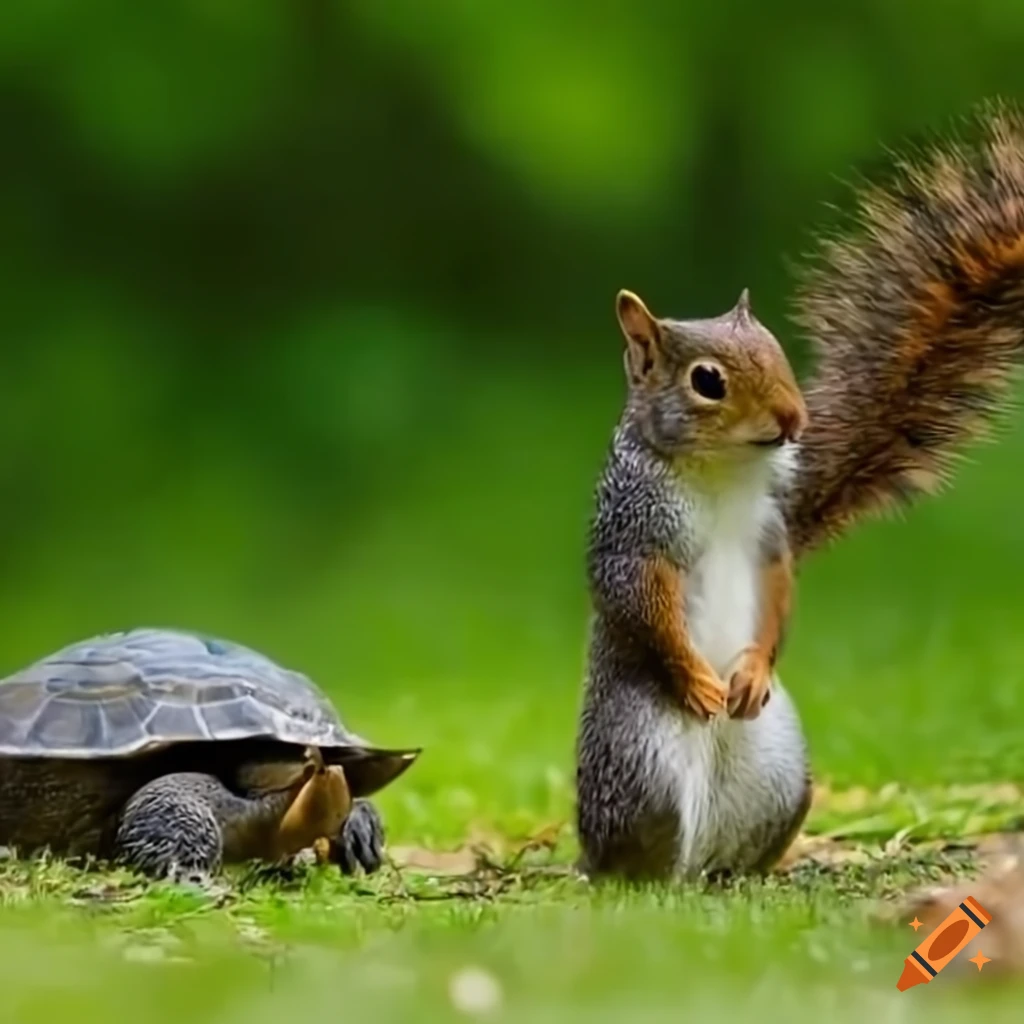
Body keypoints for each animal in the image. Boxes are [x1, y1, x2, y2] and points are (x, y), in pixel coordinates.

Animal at [575, 100, 1024, 883]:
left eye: (778, 352)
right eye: (707, 381)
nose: (794, 420)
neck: (724, 472)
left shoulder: (770, 531)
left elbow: (779, 585)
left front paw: (750, 671)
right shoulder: (635, 527)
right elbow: (640, 594)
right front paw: (698, 679)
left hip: (783, 774)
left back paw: (738, 873)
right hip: (641, 766)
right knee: (645, 847)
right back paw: (642, 880)